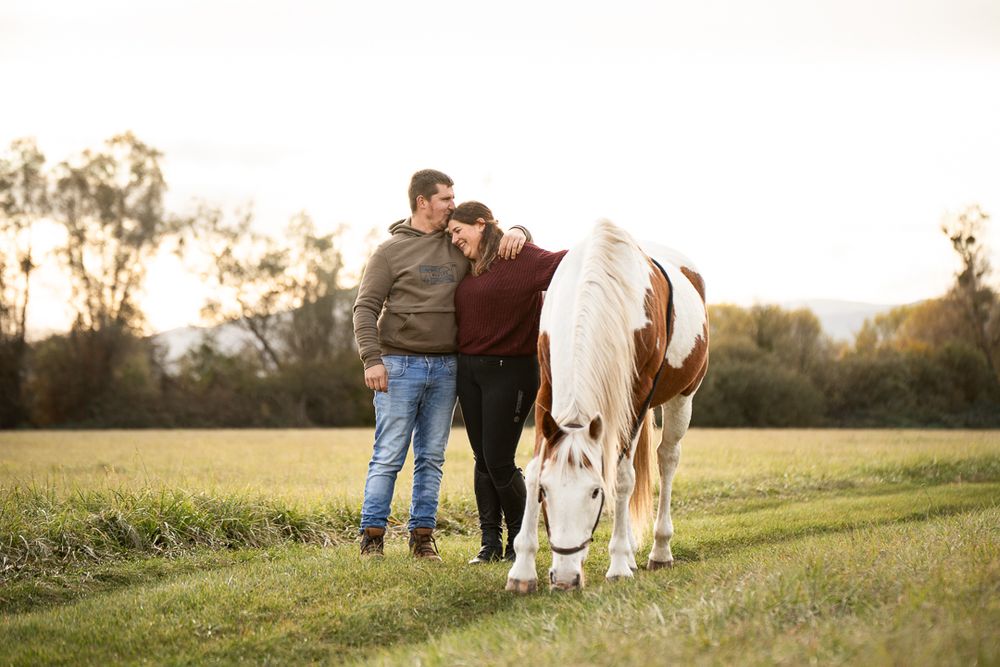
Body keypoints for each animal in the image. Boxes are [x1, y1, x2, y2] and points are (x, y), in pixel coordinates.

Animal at [505, 219, 709, 592]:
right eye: (545, 491)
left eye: (595, 493)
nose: (565, 578)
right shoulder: (547, 387)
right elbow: (535, 467)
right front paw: (522, 571)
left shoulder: (637, 394)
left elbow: (624, 478)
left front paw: (617, 566)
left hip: (682, 396)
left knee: (667, 459)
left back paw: (659, 551)